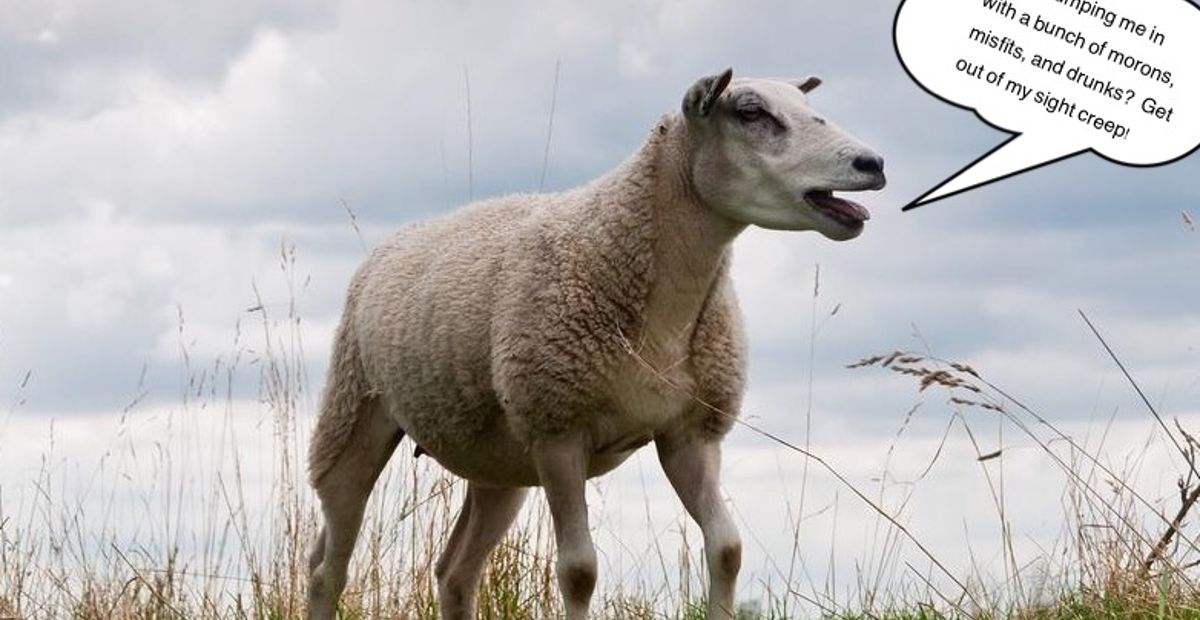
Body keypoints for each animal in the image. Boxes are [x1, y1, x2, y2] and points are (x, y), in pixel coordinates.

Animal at [306, 67, 886, 620]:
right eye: (750, 112)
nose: (873, 162)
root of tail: (395, 241)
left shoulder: (691, 433)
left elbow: (726, 549)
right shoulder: (559, 431)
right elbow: (579, 571)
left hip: (499, 462)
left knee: (454, 571)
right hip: (354, 415)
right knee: (327, 567)